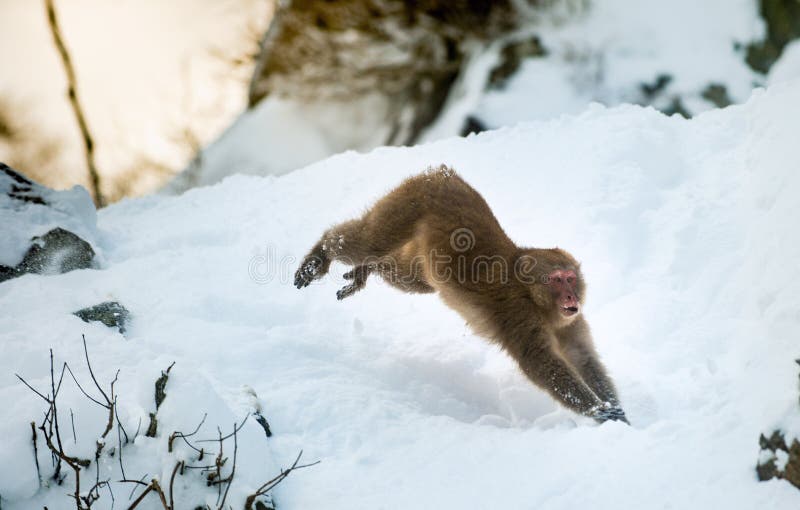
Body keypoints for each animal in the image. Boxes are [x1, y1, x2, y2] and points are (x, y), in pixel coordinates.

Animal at [294, 165, 628, 424]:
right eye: (557, 281)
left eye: (571, 278)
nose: (572, 298)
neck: (534, 298)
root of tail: (442, 175)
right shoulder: (519, 315)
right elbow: (540, 363)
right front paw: (599, 412)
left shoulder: (570, 321)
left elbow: (582, 356)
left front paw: (617, 412)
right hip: (408, 205)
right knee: (367, 242)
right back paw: (320, 254)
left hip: (422, 255)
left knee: (405, 275)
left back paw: (367, 270)